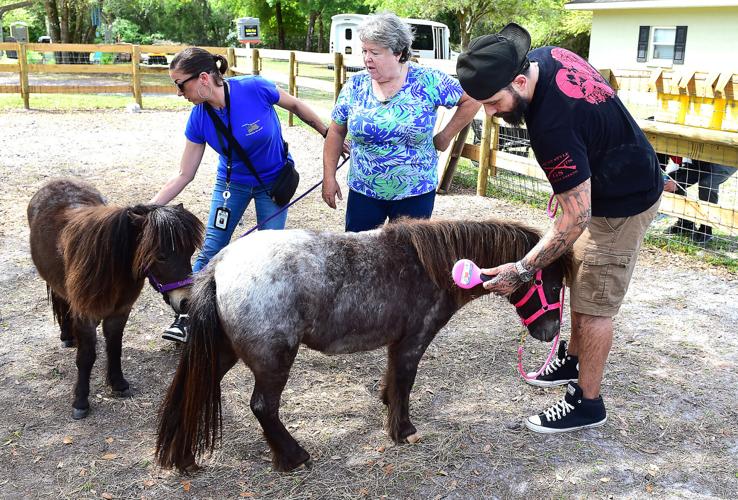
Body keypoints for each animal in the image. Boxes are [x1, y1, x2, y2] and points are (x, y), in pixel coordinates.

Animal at [27, 178, 204, 419]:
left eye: (190, 251)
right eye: (160, 256)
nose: (185, 301)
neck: (109, 268)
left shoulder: (120, 312)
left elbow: (114, 347)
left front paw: (118, 384)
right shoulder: (85, 315)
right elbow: (86, 357)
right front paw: (80, 401)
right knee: (60, 299)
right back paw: (67, 335)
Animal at [156, 218, 572, 472]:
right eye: (551, 285)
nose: (550, 333)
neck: (431, 266)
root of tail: (220, 267)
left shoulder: (397, 341)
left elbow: (393, 379)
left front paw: (388, 404)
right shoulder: (414, 339)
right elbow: (405, 380)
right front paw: (403, 429)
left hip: (222, 351)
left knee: (195, 389)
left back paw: (182, 456)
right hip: (274, 360)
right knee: (263, 407)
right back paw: (293, 456)